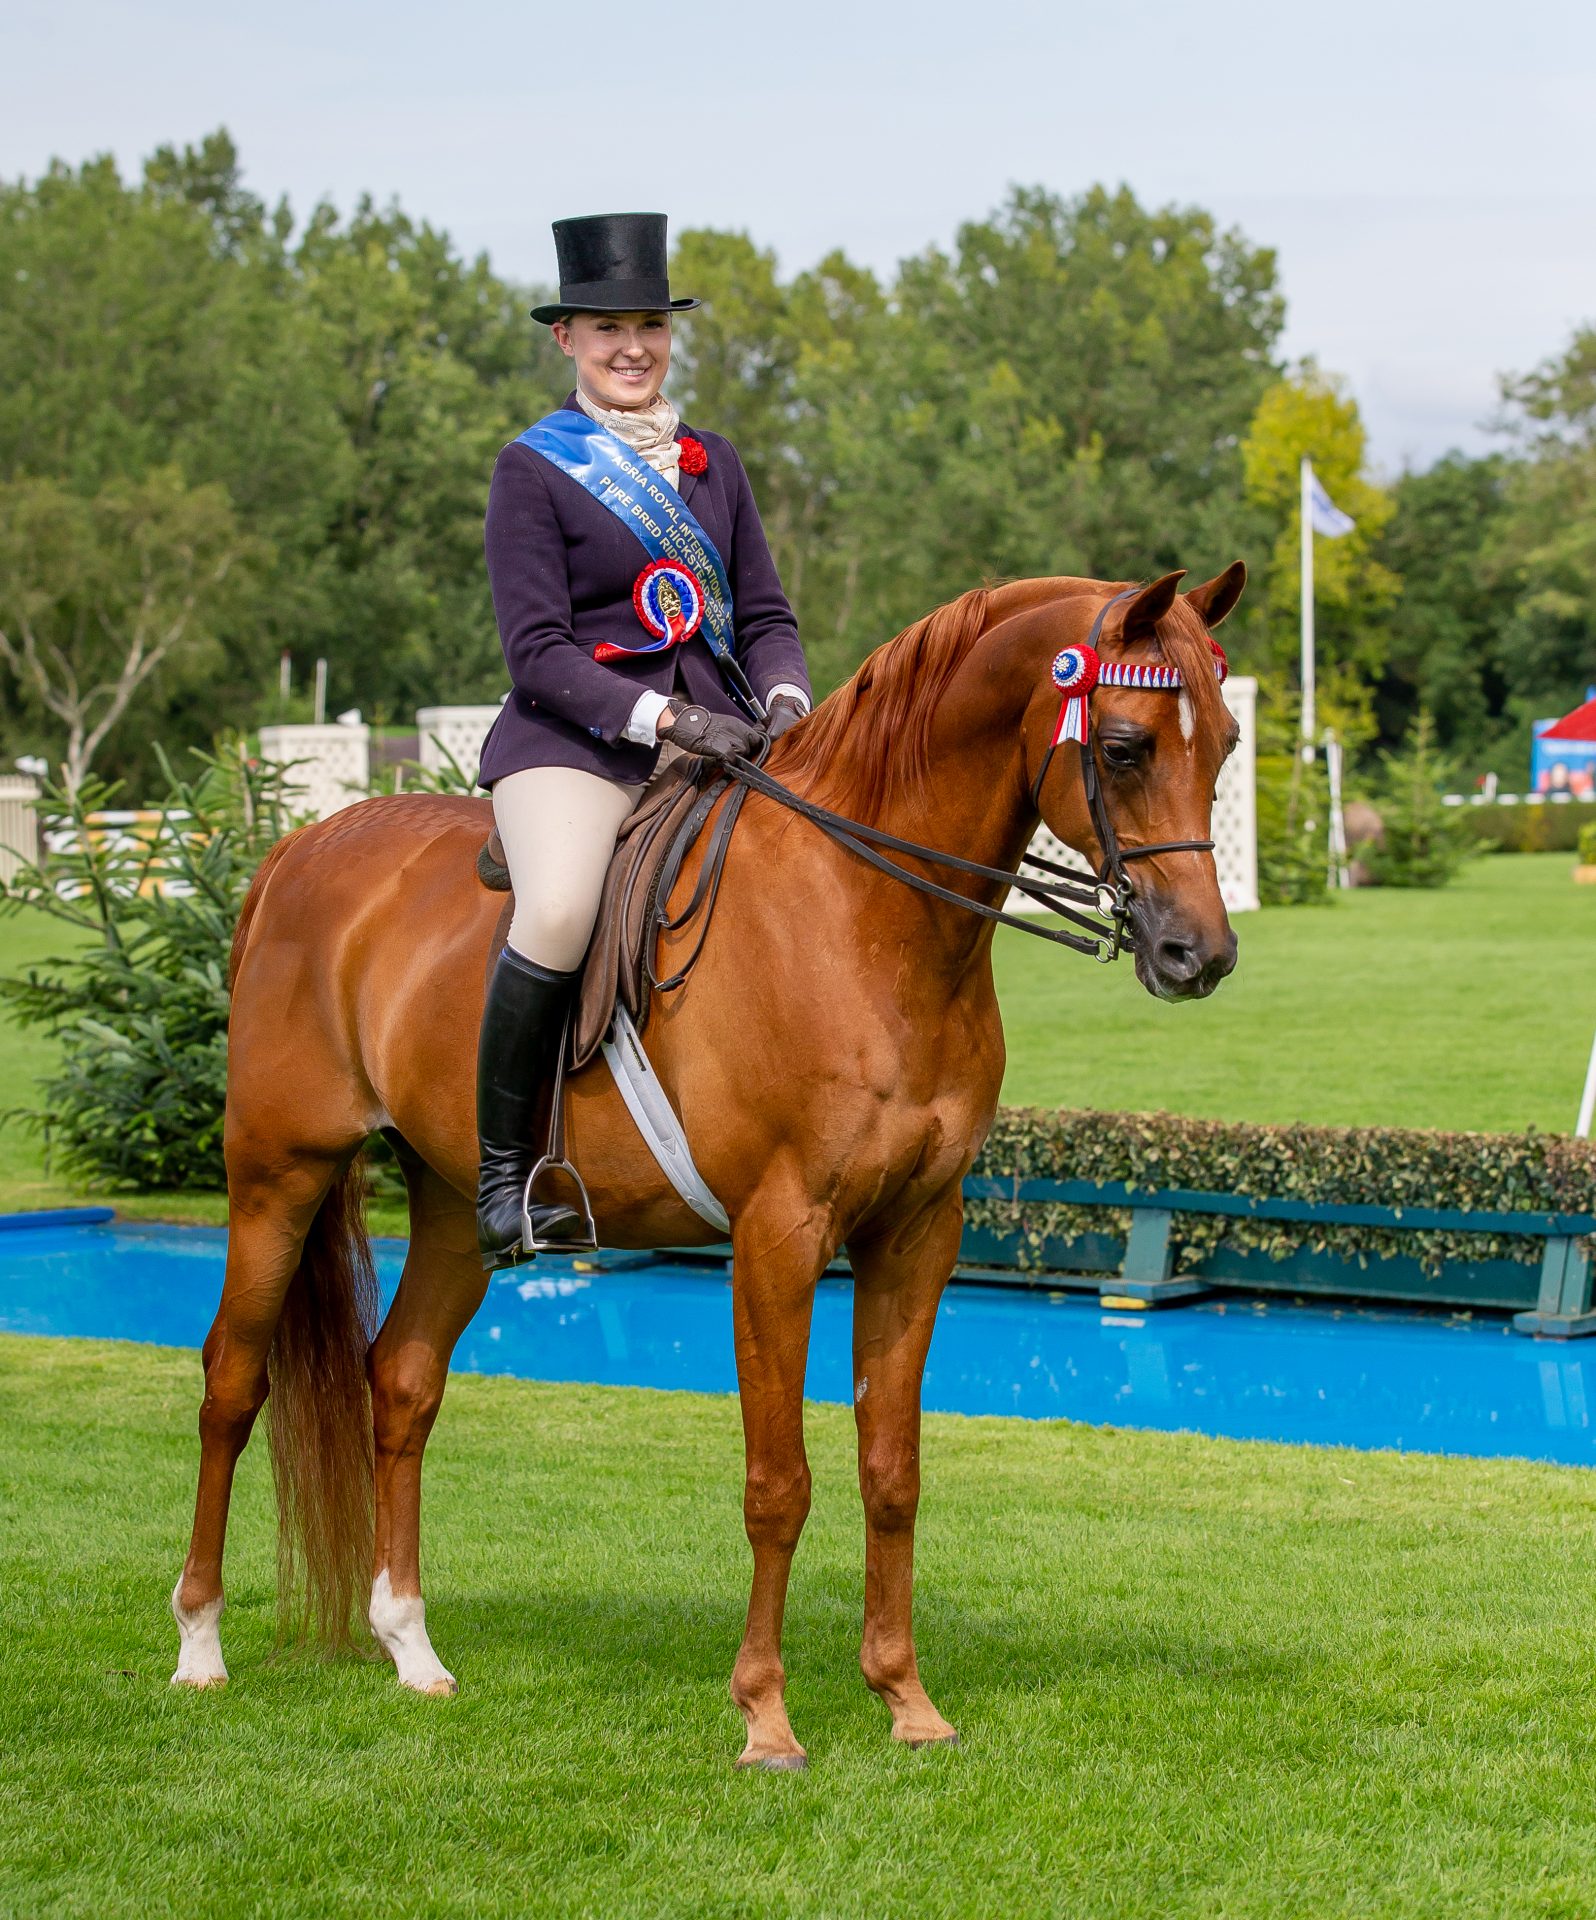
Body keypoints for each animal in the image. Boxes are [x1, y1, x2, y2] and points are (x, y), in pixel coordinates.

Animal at [171, 563, 1244, 1769]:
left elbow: (892, 1472)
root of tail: (297, 852)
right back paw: (199, 1644)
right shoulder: (778, 1234)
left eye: (1227, 743)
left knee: (400, 1381)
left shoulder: (918, 1231)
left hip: (451, 1205)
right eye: (1125, 746)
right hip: (279, 1175)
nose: (1198, 955)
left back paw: (411, 1648)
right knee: (231, 1383)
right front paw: (765, 1717)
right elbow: (778, 1484)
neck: (869, 916)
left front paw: (905, 1699)